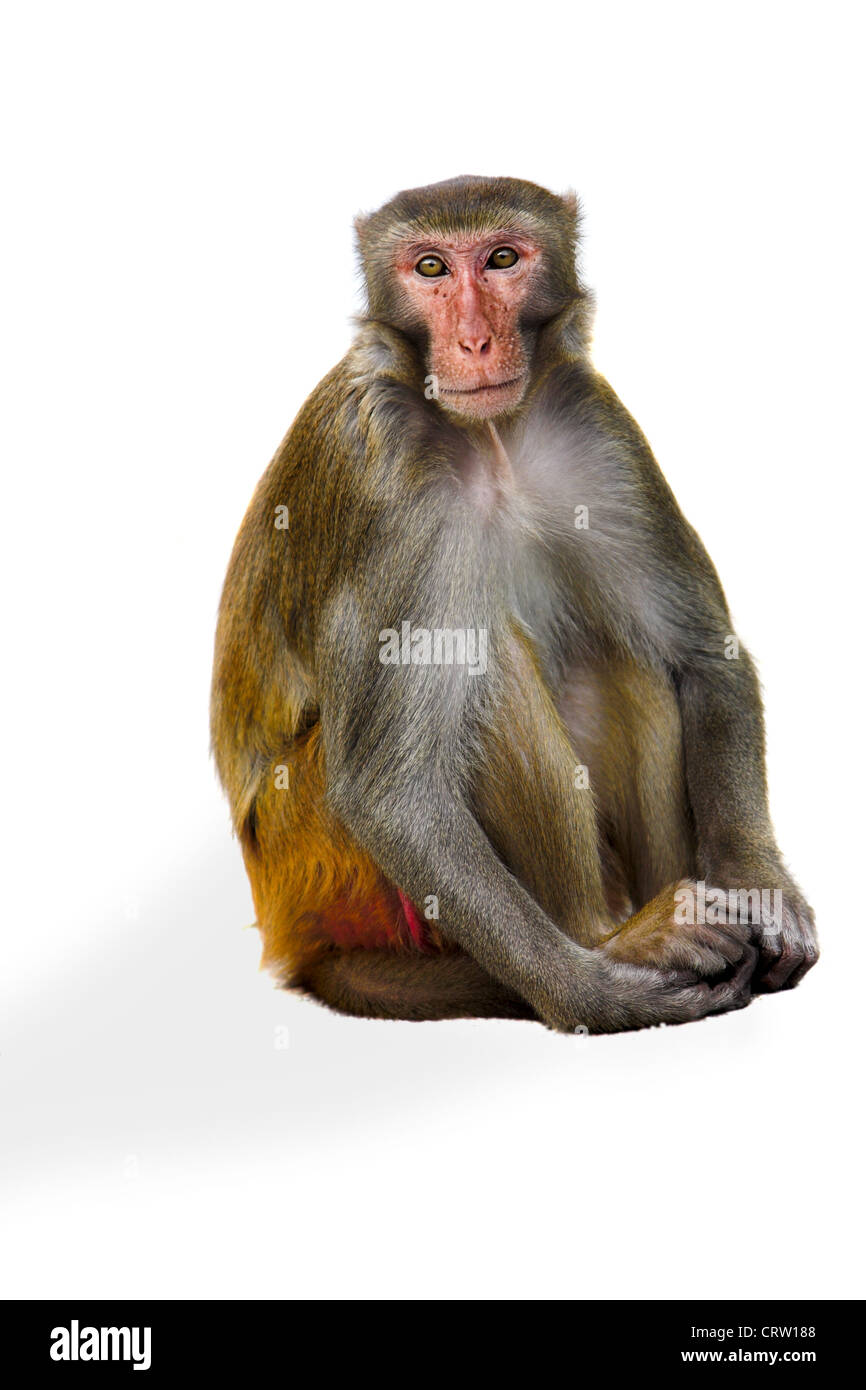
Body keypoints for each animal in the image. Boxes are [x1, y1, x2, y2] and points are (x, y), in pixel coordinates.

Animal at [210, 174, 818, 1033]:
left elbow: (703, 656)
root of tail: (291, 931)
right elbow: (393, 794)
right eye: (429, 267)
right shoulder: (385, 475)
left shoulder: (596, 426)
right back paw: (610, 940)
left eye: (503, 259)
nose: (473, 341)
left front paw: (764, 891)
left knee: (628, 666)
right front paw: (587, 990)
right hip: (328, 866)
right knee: (478, 664)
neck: (488, 434)